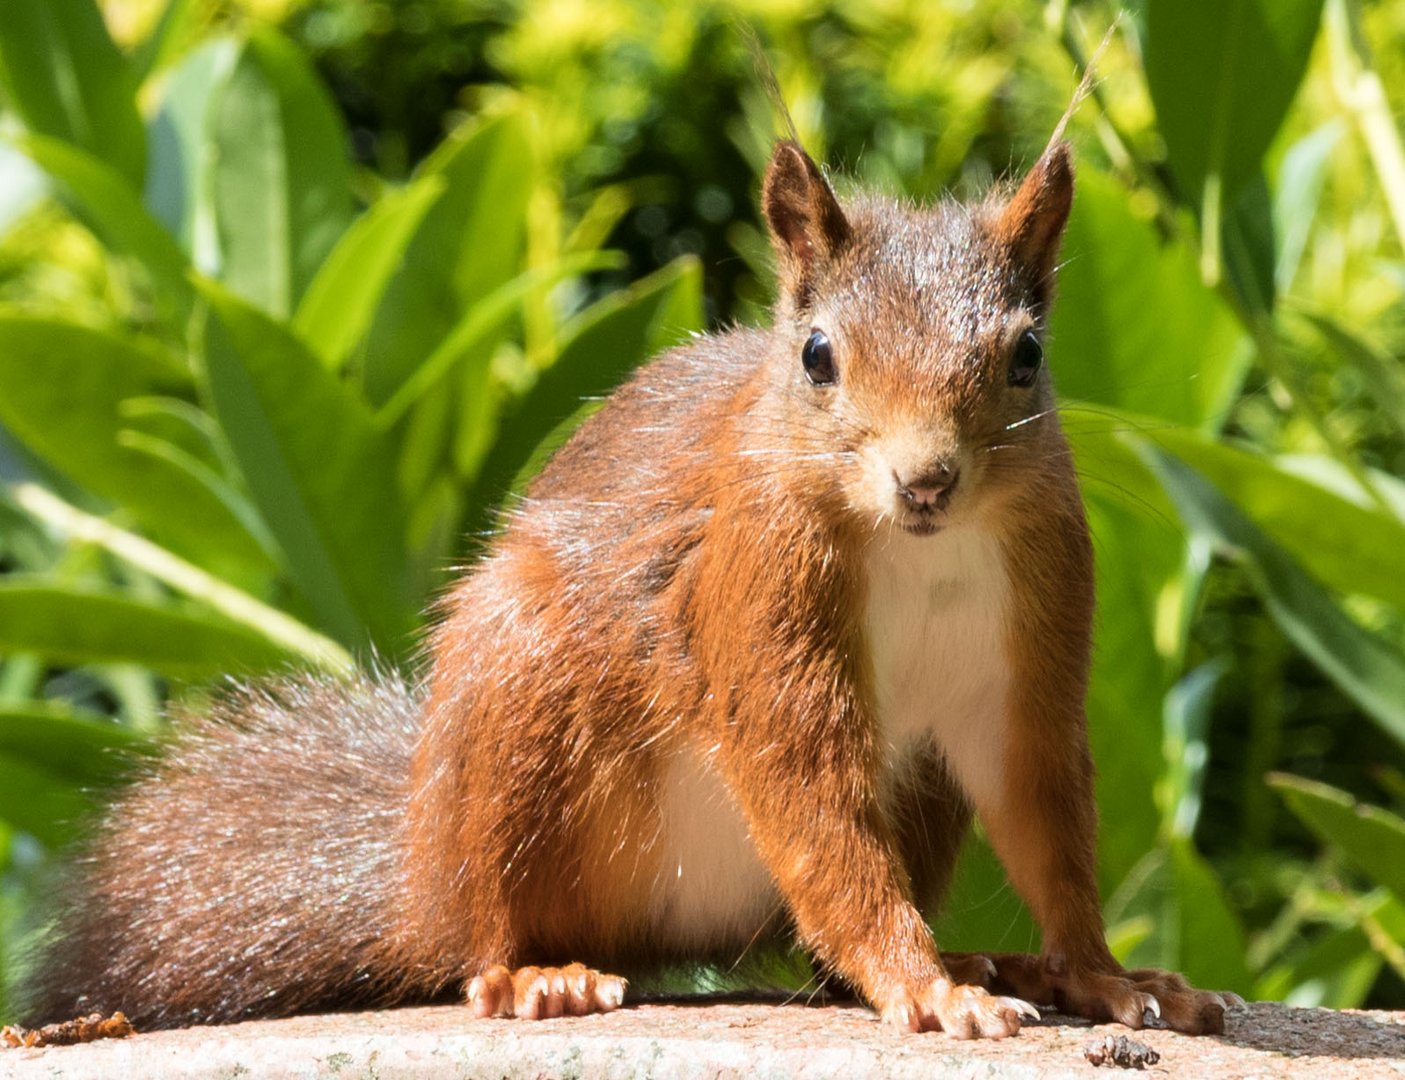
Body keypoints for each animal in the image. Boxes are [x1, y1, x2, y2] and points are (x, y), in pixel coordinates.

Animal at [21, 137, 1237, 1040]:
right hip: (515, 708)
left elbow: (1042, 805)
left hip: (921, 788)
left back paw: (986, 956)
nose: (925, 480)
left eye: (1026, 355)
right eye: (816, 356)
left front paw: (1104, 975)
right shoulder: (758, 587)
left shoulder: (1034, 630)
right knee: (474, 931)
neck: (923, 549)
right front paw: (926, 986)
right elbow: (806, 793)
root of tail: (414, 867)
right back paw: (531, 974)